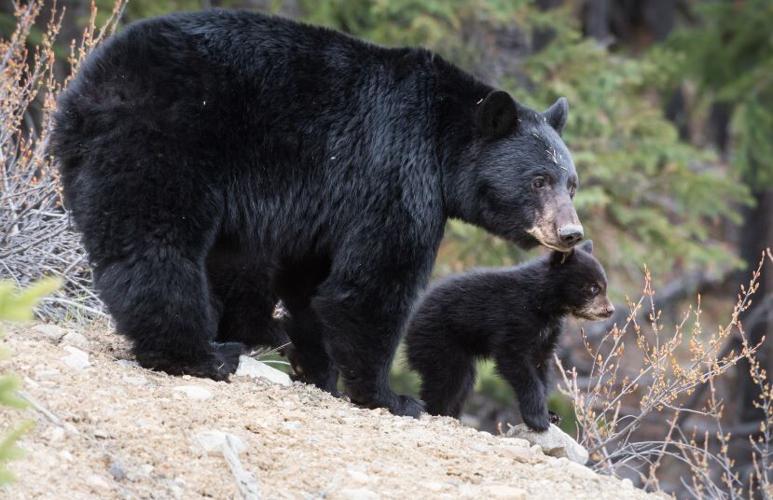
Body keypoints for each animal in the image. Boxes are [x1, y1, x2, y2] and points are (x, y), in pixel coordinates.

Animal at [50, 9, 584, 417]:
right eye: (539, 180)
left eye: (571, 183)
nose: (571, 232)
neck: (440, 139)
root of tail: (91, 86)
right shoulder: (394, 173)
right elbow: (371, 285)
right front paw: (390, 397)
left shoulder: (326, 206)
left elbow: (311, 283)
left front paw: (319, 371)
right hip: (168, 140)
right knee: (157, 243)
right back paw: (200, 354)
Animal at [404, 240, 613, 429]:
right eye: (593, 288)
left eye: (605, 285)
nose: (609, 310)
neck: (543, 303)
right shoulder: (514, 319)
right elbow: (515, 361)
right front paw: (538, 419)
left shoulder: (549, 333)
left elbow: (541, 365)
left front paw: (550, 414)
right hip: (439, 340)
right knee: (448, 380)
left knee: (462, 383)